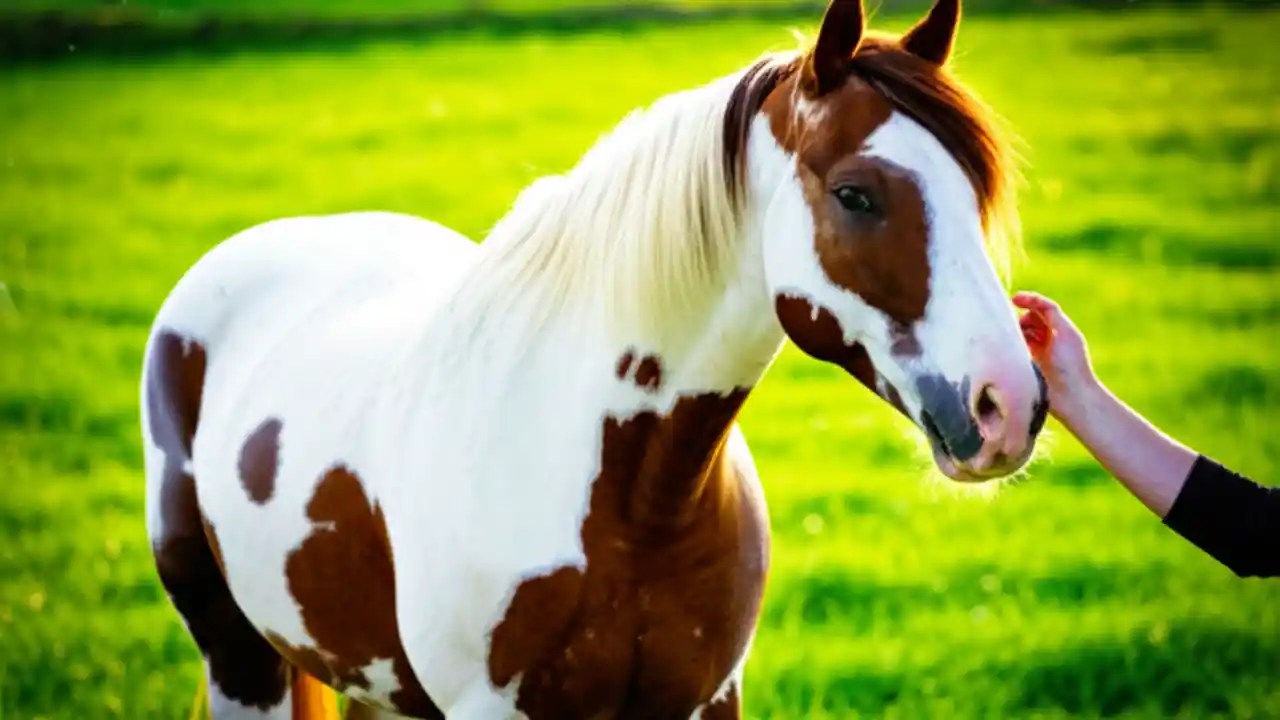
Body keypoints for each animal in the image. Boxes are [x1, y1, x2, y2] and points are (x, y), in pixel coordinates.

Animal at [141, 0, 1047, 717]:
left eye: (976, 189)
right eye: (856, 194)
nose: (1009, 404)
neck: (628, 499)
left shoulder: (709, 699)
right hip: (238, 658)